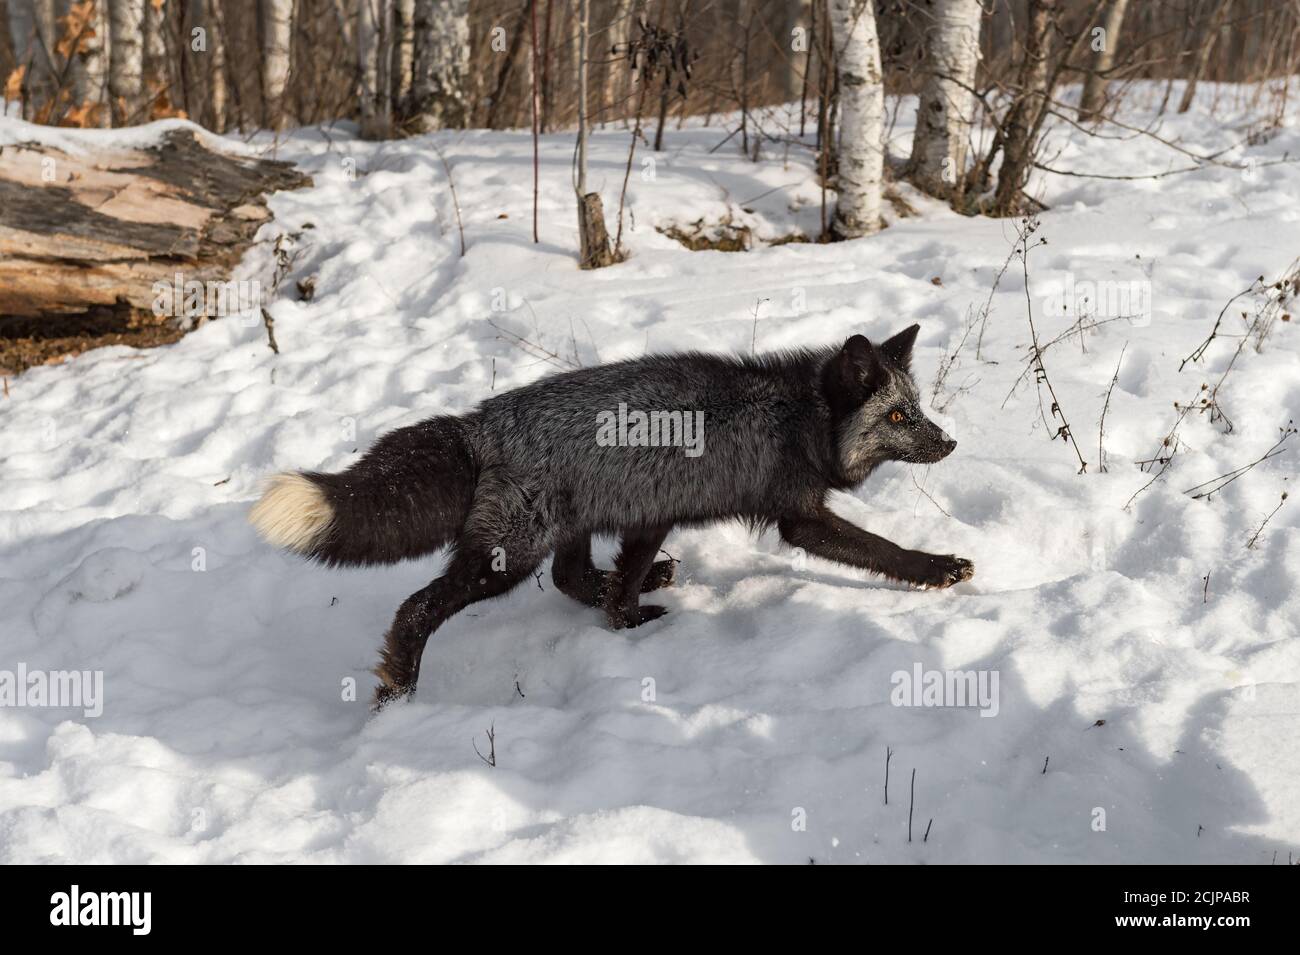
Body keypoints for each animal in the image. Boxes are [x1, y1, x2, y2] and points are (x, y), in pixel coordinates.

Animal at [249, 323, 973, 708]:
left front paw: (626, 611)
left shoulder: (650, 513)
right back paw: (397, 688)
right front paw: (939, 568)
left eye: (917, 409)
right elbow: (883, 549)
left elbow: (620, 576)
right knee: (418, 607)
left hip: (565, 527)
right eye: (898, 417)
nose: (950, 444)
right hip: (506, 559)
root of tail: (480, 423)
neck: (799, 416)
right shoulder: (800, 519)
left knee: (570, 576)